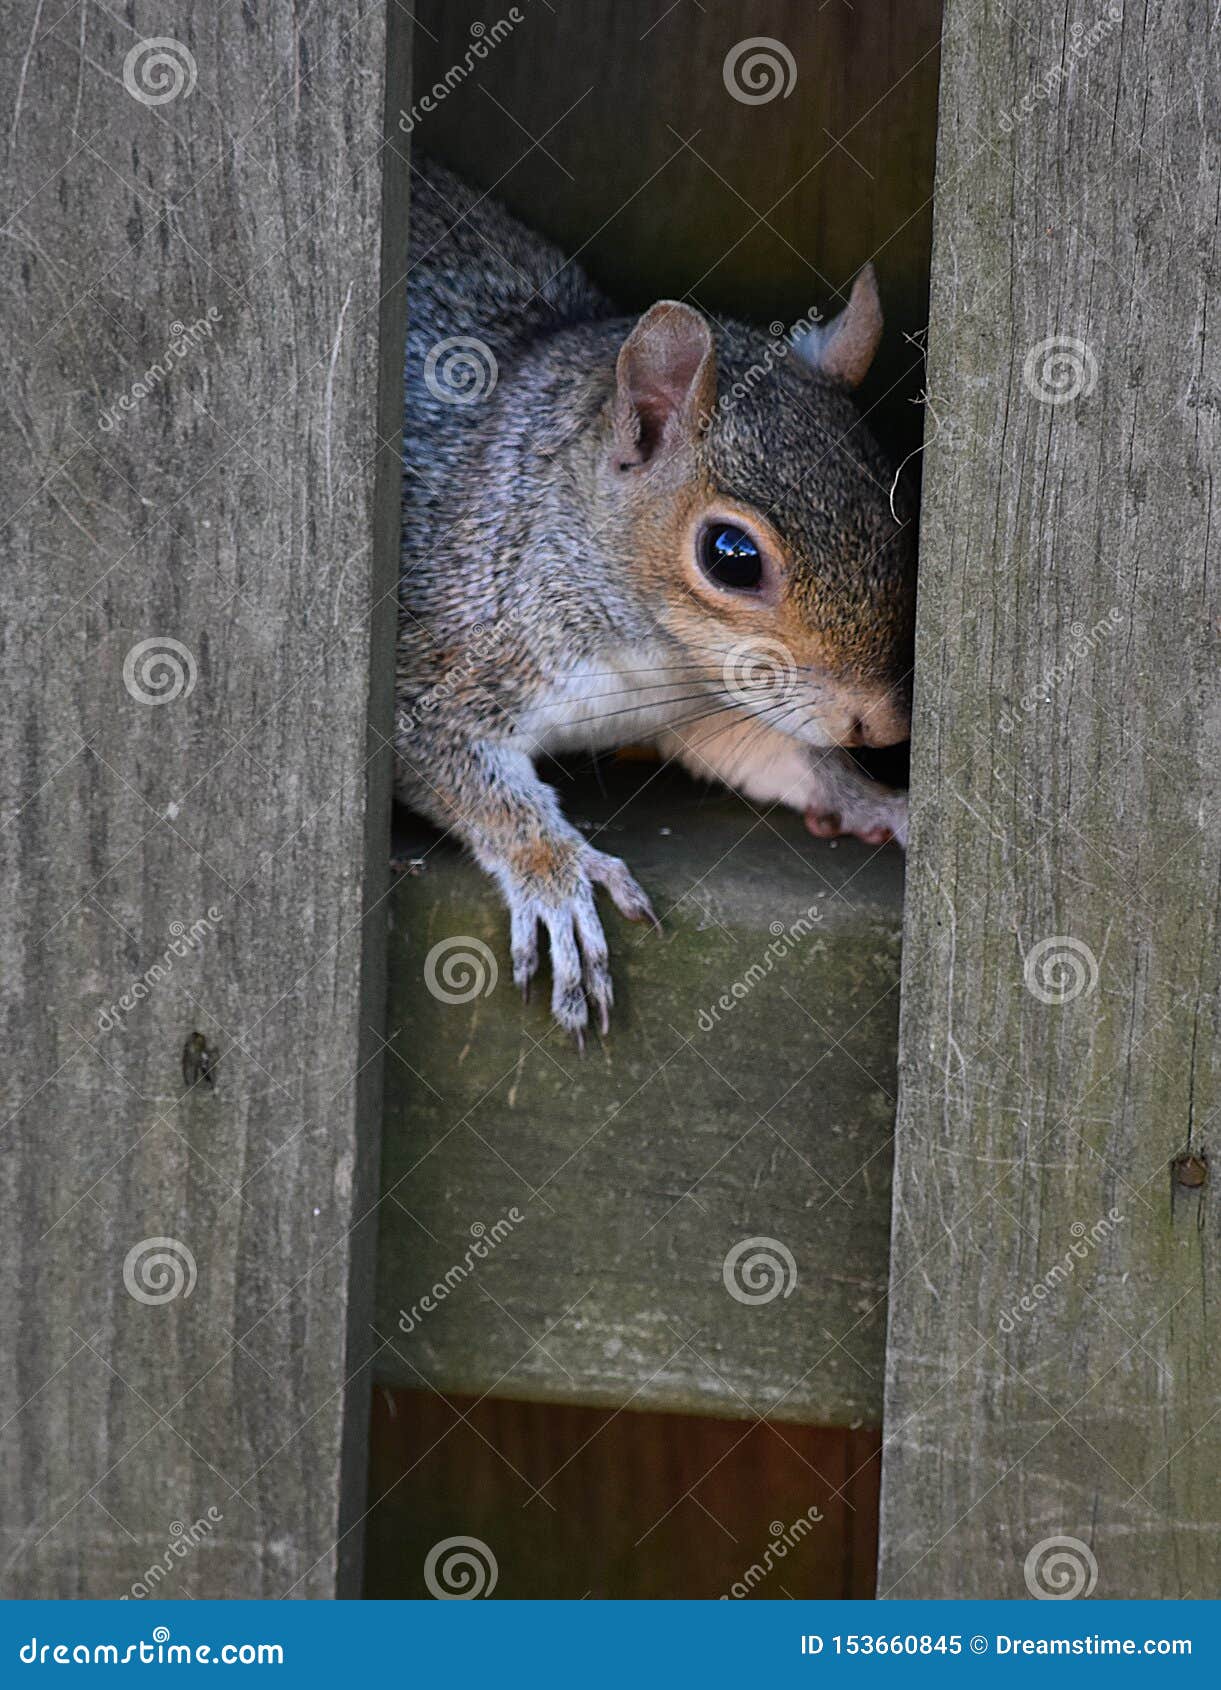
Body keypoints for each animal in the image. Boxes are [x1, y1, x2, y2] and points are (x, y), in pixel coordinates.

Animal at [397, 154, 915, 1041]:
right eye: (731, 557)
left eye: (893, 511)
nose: (880, 727)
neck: (651, 658)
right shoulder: (440, 654)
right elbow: (468, 780)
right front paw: (556, 871)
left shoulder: (706, 710)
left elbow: (776, 756)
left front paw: (877, 802)